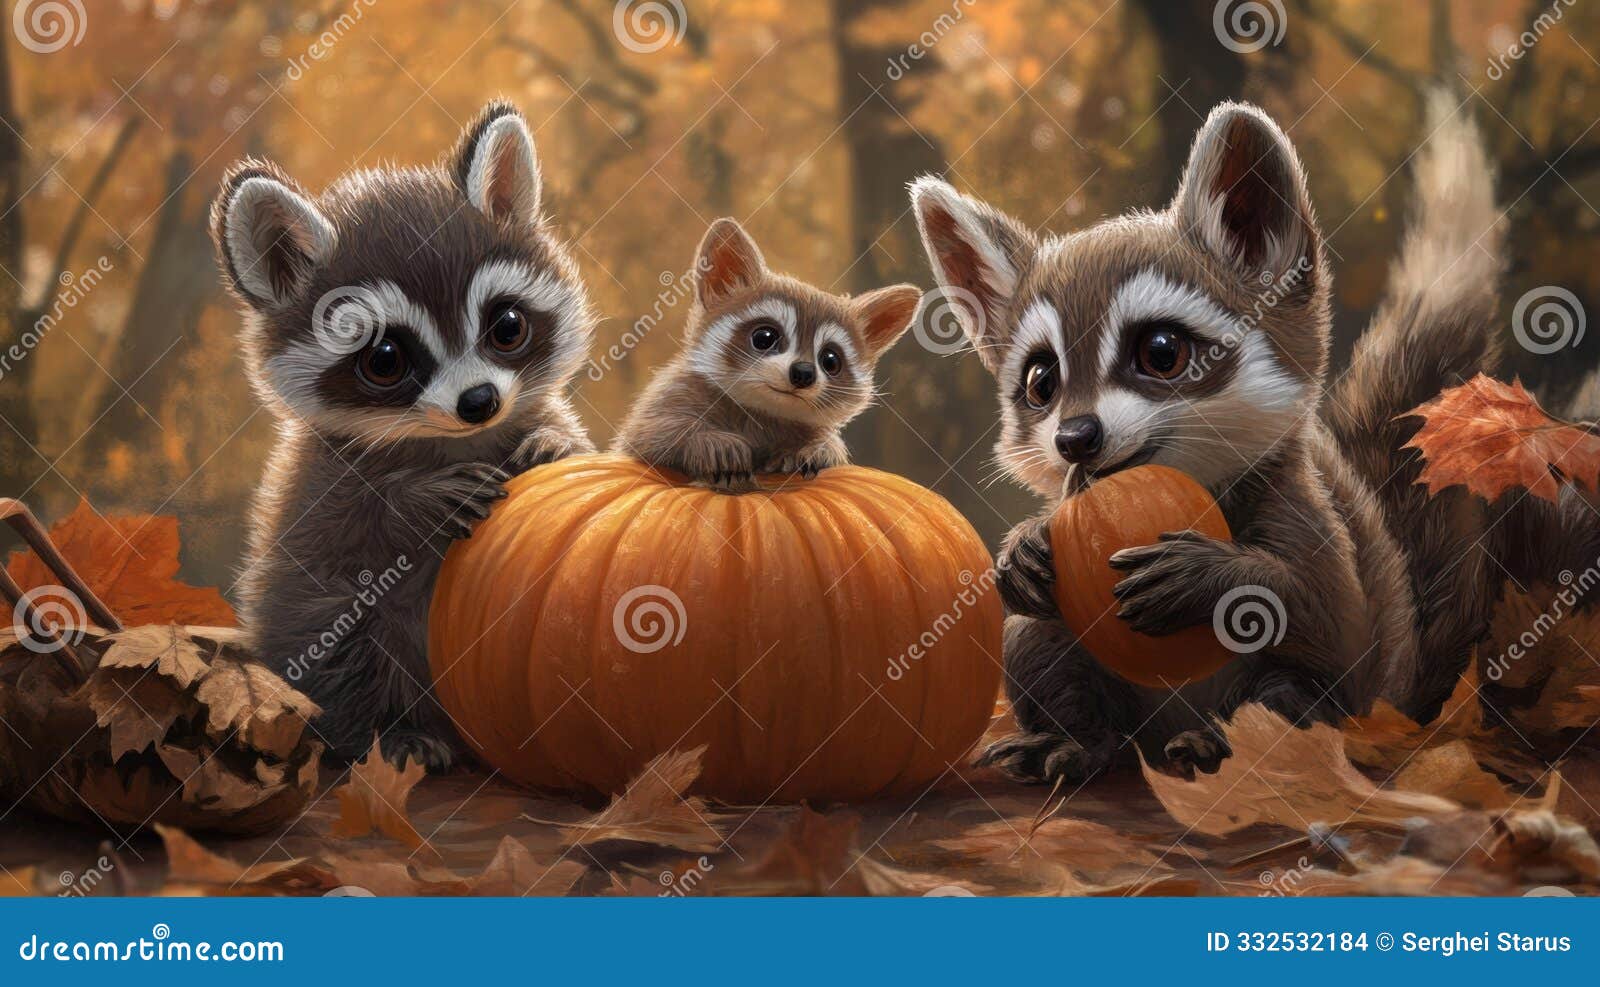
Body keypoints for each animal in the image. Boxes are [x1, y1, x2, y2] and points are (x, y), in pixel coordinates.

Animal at [213, 101, 595, 772]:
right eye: (385, 360)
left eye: (507, 327)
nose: (479, 402)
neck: (447, 438)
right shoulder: (321, 479)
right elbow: (353, 526)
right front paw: (413, 500)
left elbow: (574, 442)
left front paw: (555, 443)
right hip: (308, 618)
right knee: (338, 631)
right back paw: (385, 732)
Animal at [613, 218, 920, 489]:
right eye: (764, 338)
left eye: (830, 361)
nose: (803, 373)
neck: (763, 410)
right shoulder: (671, 394)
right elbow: (648, 434)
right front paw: (706, 438)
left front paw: (821, 448)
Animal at [911, 94, 1517, 782]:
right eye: (1042, 381)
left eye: (1162, 352)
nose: (1075, 437)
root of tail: (1153, 740)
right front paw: (1024, 540)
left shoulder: (1308, 525)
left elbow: (1329, 620)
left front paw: (1222, 573)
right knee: (1035, 637)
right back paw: (1078, 737)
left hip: (1347, 705)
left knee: (1296, 694)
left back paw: (1226, 742)